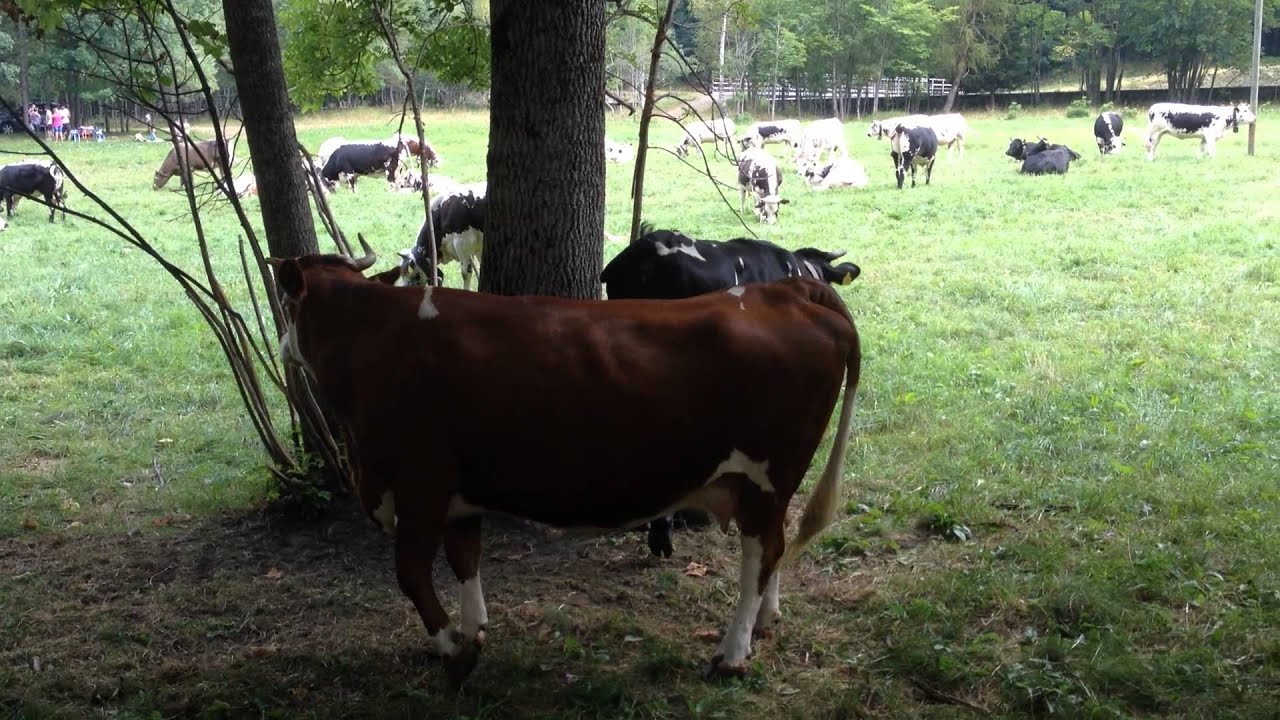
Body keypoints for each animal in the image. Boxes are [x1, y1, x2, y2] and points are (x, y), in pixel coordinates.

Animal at [268, 236, 861, 683]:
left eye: (289, 305)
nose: (282, 345)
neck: (374, 338)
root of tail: (788, 288)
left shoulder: (419, 482)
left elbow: (412, 574)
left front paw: (452, 651)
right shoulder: (459, 492)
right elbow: (465, 559)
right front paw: (473, 629)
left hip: (766, 474)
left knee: (761, 553)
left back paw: (732, 652)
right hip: (772, 483)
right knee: (773, 547)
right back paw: (763, 623)